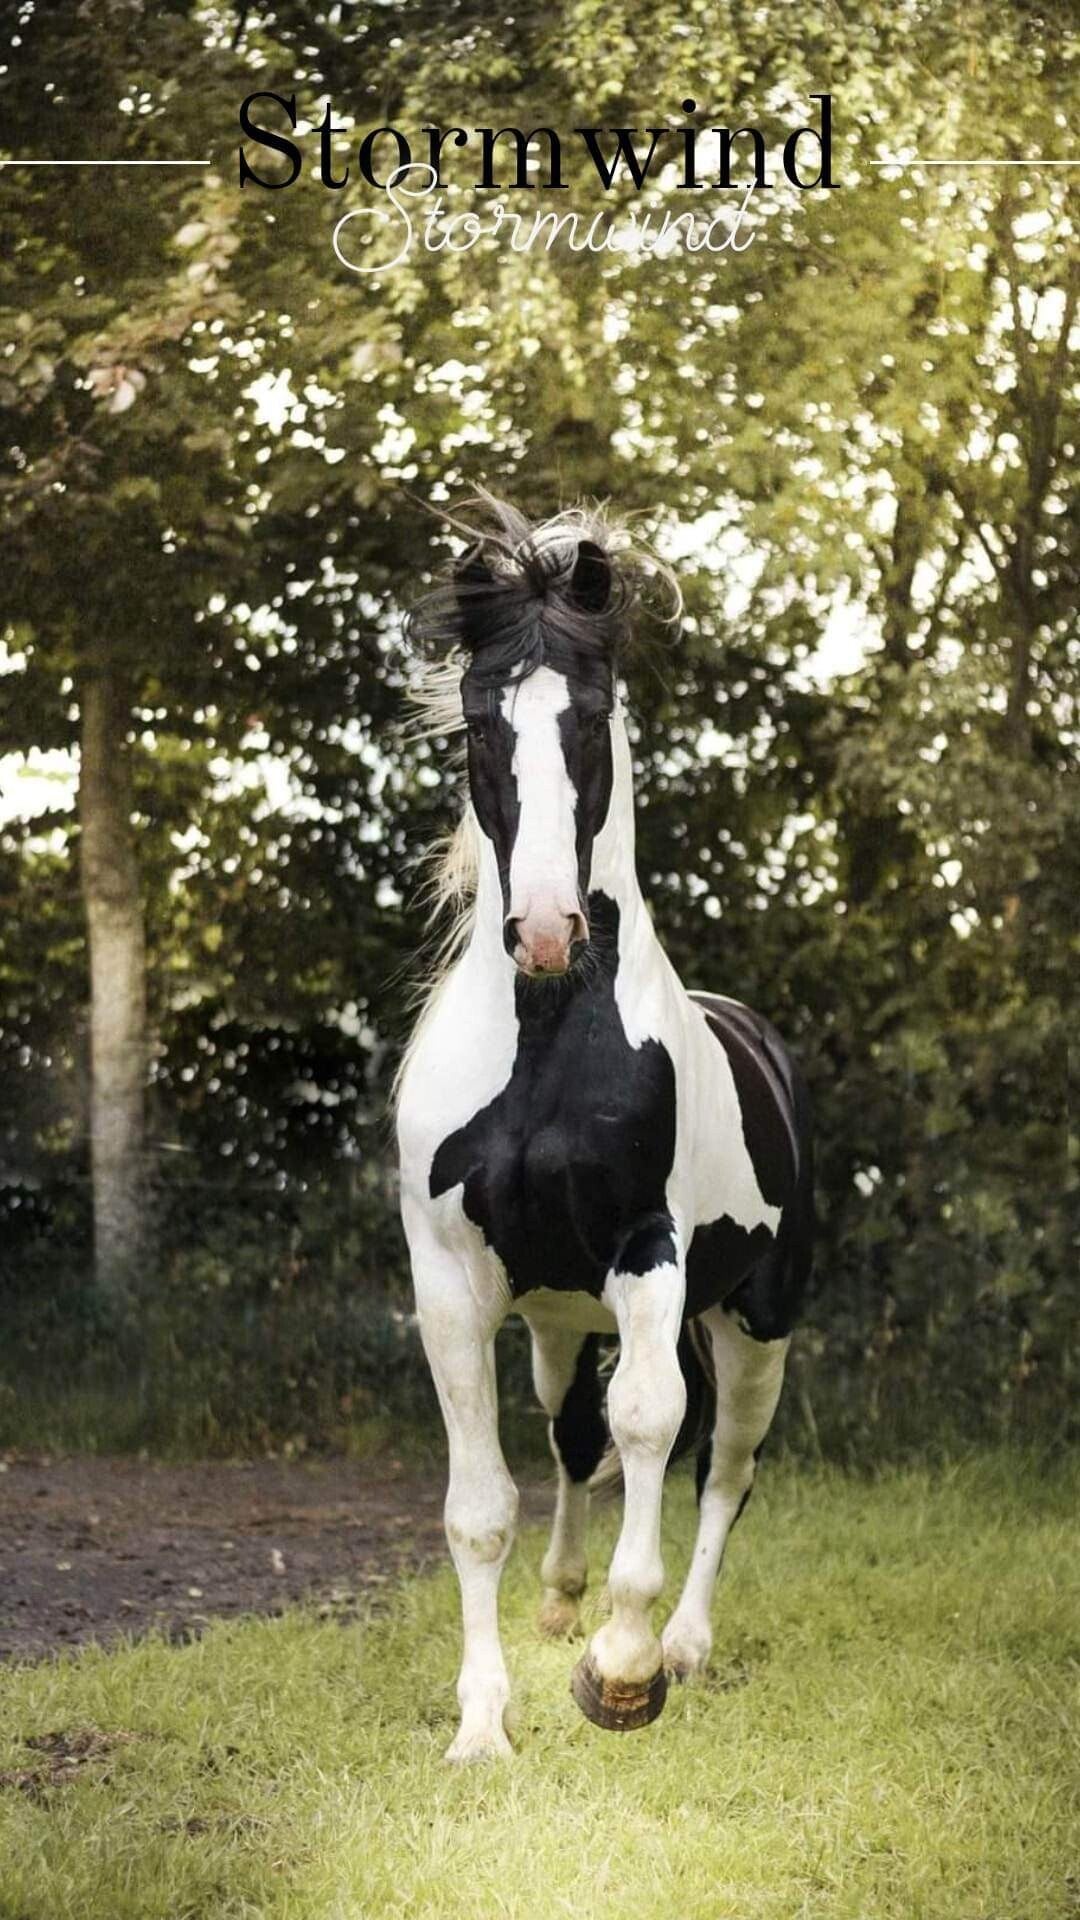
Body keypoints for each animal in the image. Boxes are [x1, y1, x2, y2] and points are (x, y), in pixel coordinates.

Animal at [396, 498, 814, 1761]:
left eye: (591, 718)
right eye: (480, 720)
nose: (544, 929)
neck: (545, 1043)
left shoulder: (649, 1254)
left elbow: (653, 1427)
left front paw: (622, 1672)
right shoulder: (452, 1279)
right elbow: (482, 1507)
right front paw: (483, 1725)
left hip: (752, 1319)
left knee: (719, 1467)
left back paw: (682, 1643)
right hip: (556, 1318)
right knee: (573, 1441)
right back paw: (558, 1596)